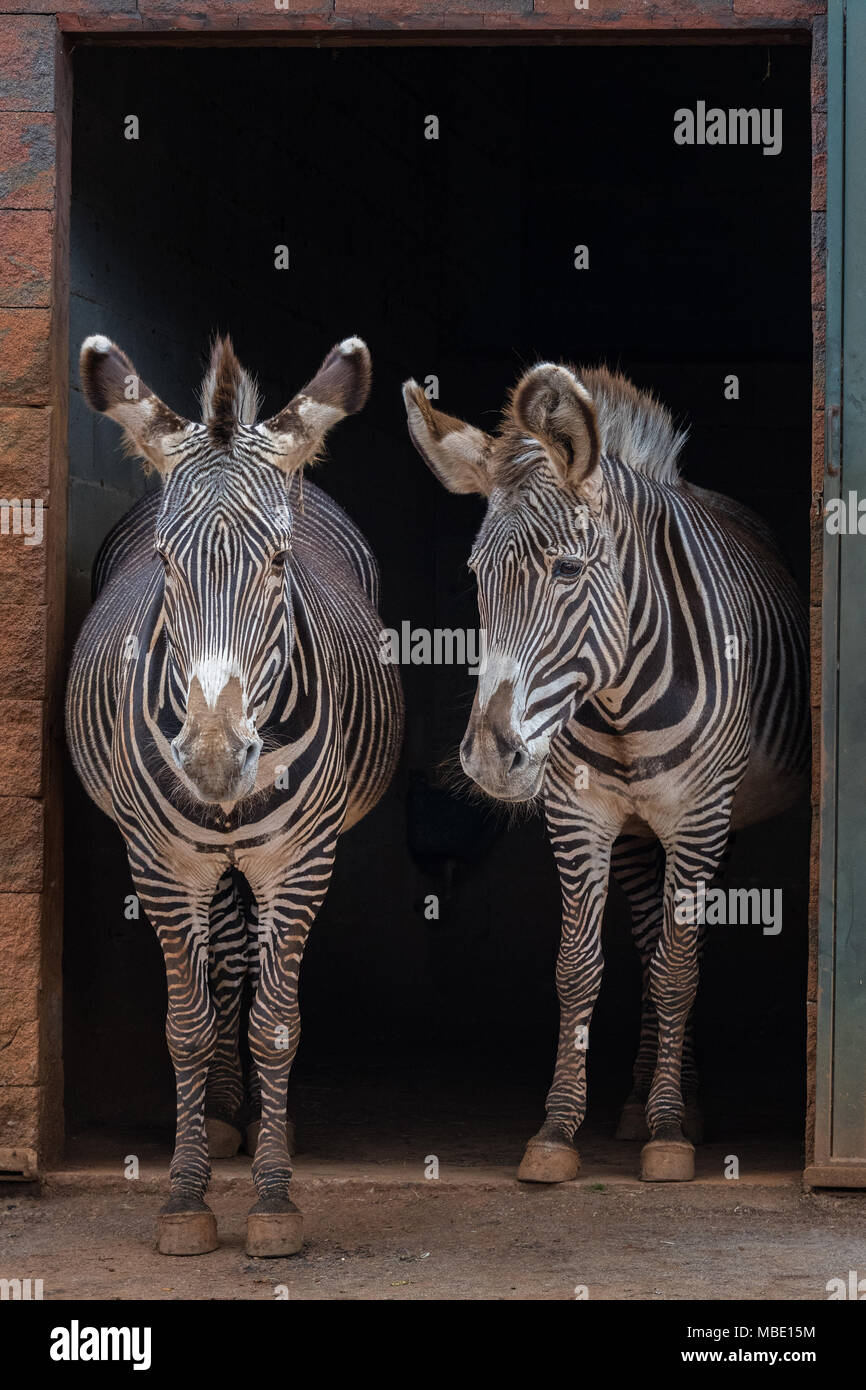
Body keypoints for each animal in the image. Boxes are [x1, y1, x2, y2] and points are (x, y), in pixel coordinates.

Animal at [67, 333, 403, 1255]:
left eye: (278, 562)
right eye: (164, 564)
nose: (216, 760)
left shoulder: (301, 863)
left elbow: (276, 1023)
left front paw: (275, 1200)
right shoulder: (160, 865)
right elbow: (186, 1025)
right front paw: (185, 1198)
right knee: (221, 962)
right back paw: (221, 1118)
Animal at [402, 361, 808, 1184]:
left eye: (566, 569)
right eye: (475, 575)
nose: (489, 757)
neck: (621, 693)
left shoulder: (697, 817)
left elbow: (680, 969)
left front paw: (669, 1134)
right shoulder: (579, 816)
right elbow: (579, 968)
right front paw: (559, 1131)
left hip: (711, 821)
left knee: (680, 951)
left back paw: (673, 1107)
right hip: (638, 834)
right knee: (651, 940)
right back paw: (645, 1100)